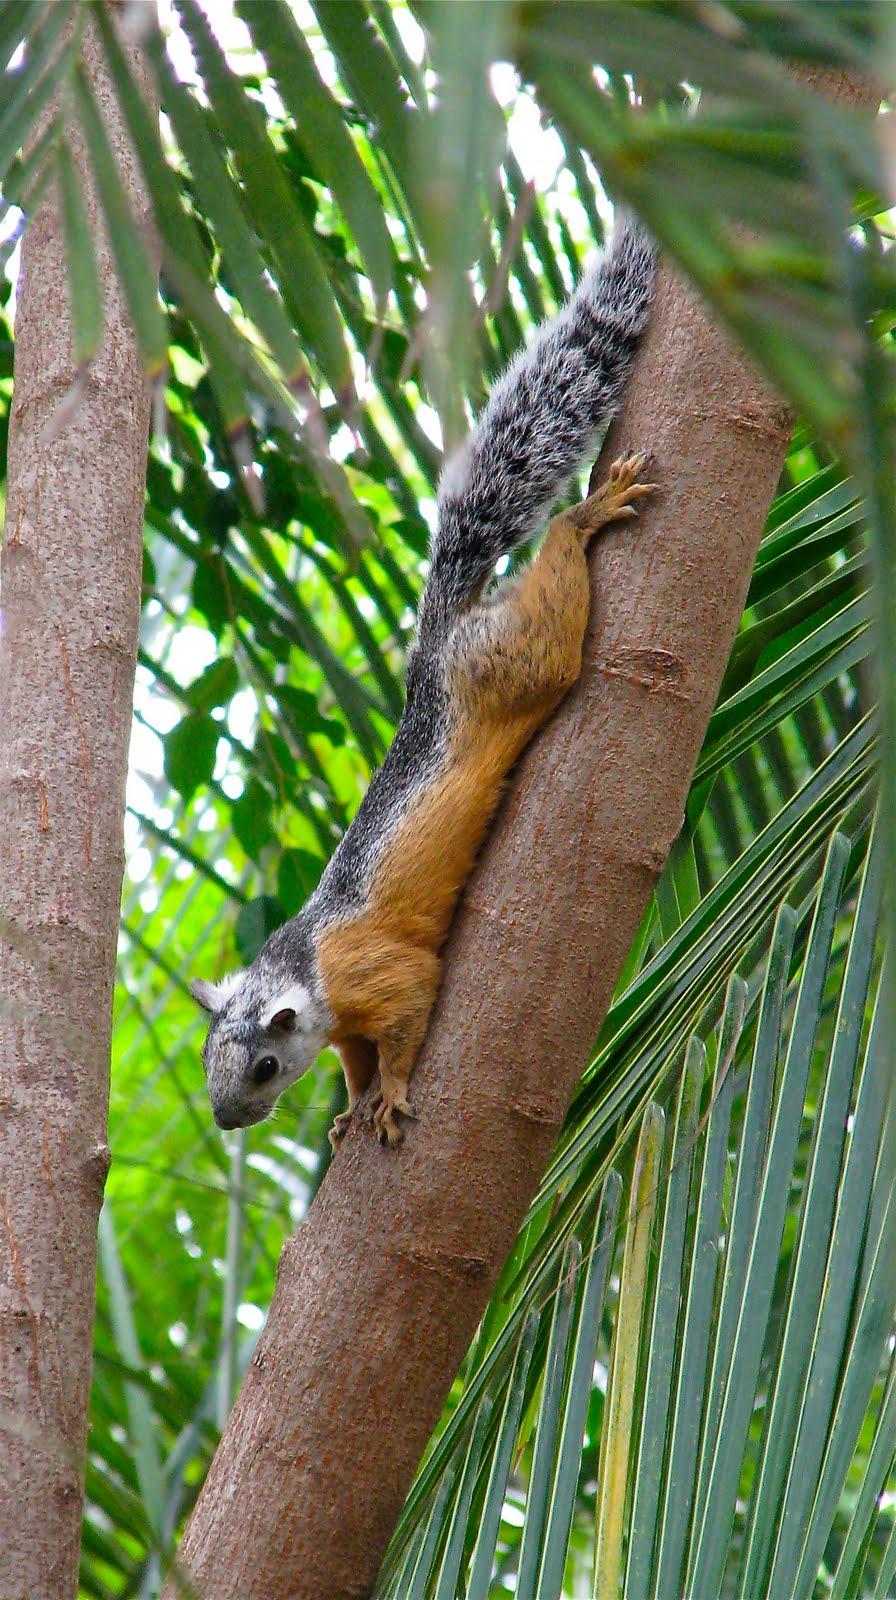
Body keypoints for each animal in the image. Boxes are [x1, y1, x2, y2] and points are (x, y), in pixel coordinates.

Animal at [191, 218, 657, 1147]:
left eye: (263, 1067)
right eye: (205, 1061)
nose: (226, 1122)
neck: (303, 974)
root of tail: (437, 645)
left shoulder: (381, 972)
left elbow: (407, 1019)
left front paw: (393, 1093)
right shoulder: (343, 1023)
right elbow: (352, 1058)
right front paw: (350, 1106)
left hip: (522, 661)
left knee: (557, 591)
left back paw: (585, 517)